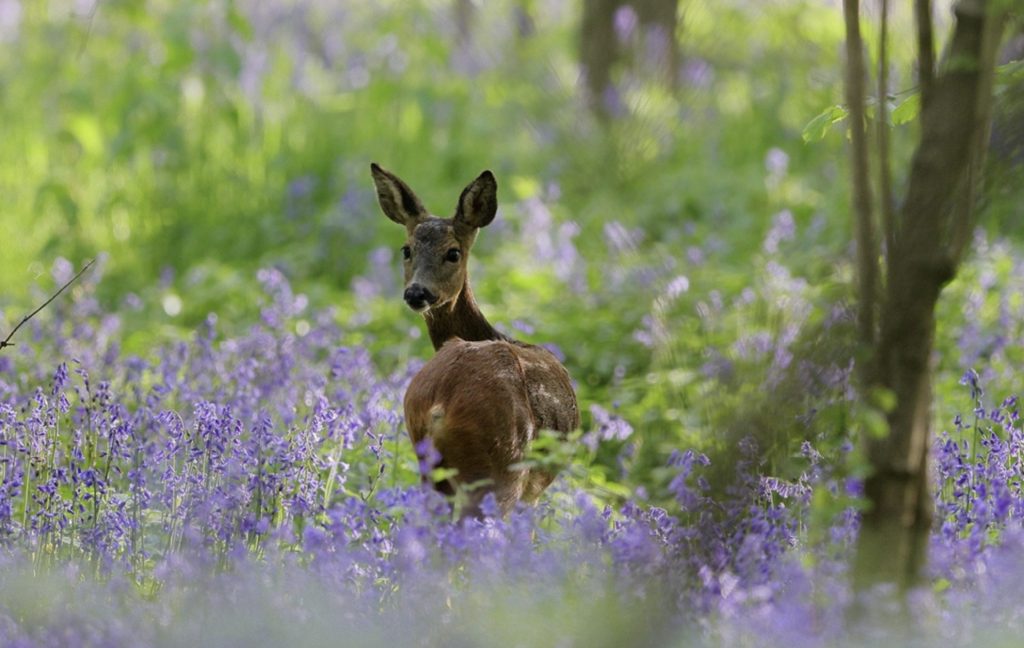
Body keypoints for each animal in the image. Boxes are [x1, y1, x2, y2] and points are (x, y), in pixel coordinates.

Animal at [370, 163, 580, 517]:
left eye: (453, 253)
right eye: (407, 249)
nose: (416, 293)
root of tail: (441, 403)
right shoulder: (533, 491)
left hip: (429, 463)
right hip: (499, 467)